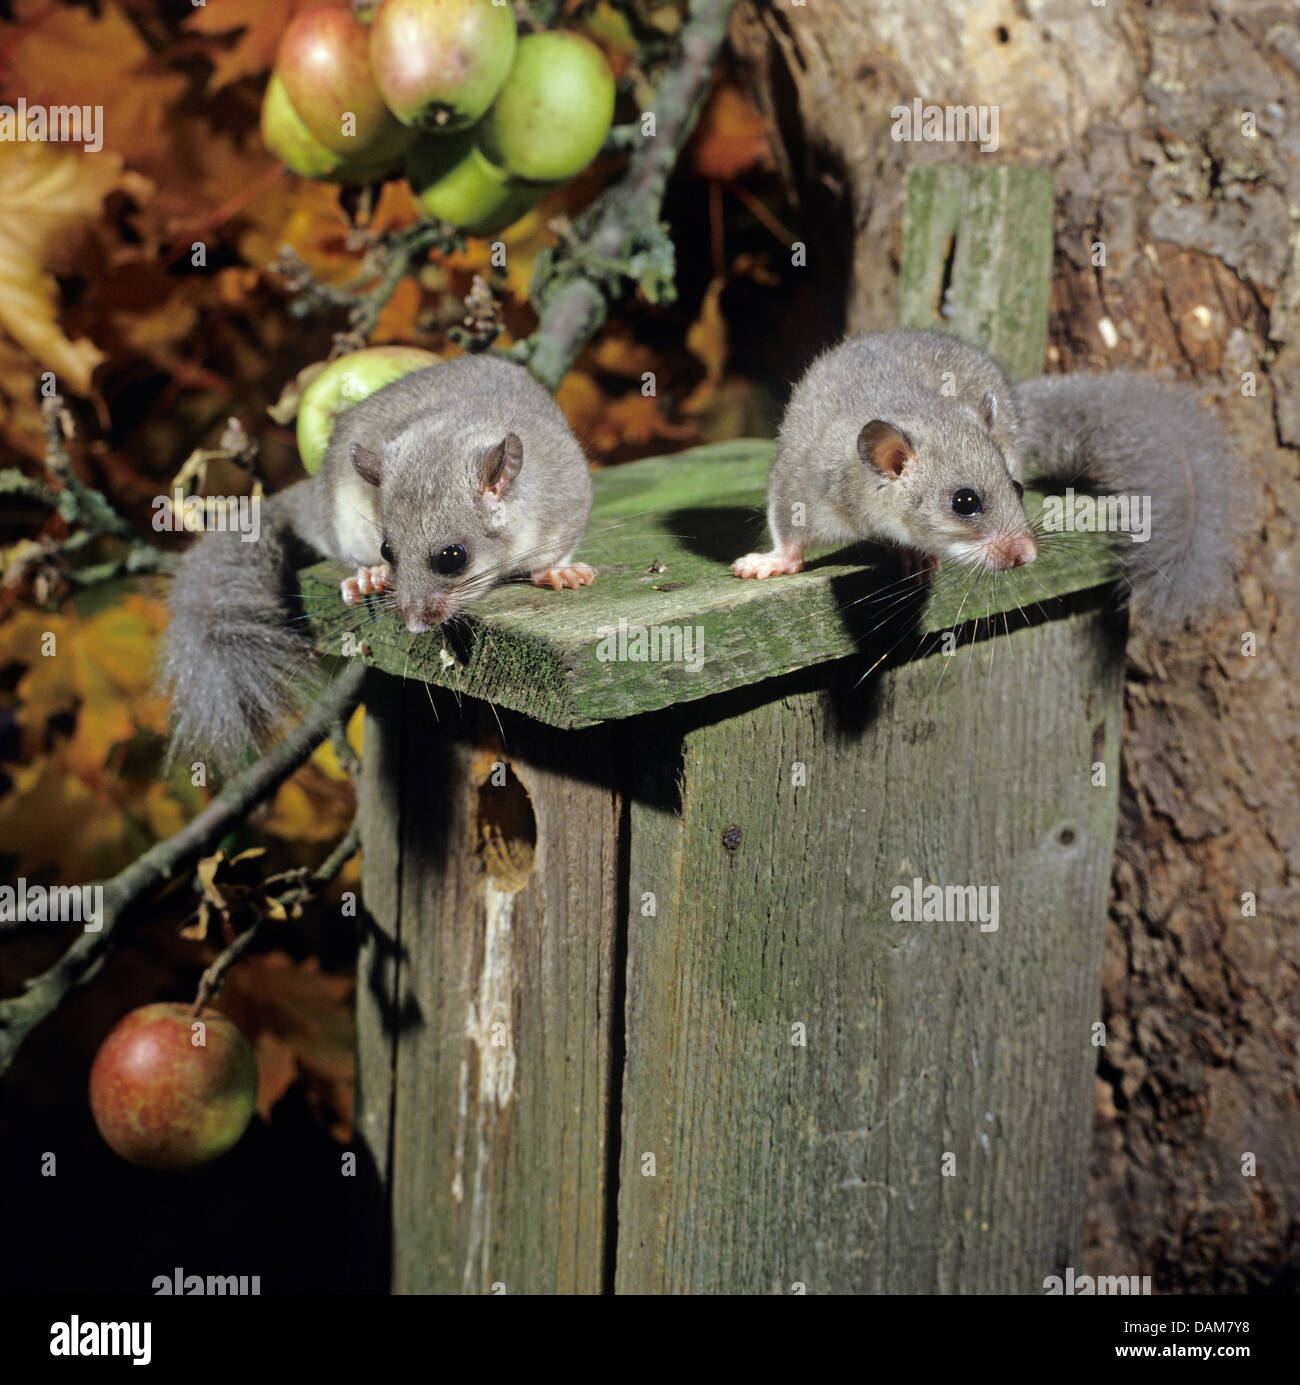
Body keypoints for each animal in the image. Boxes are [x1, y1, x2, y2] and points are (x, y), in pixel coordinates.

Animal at [160, 354, 594, 775]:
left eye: (453, 557)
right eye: (388, 549)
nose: (414, 625)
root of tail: (312, 499)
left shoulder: (567, 512)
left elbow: (558, 553)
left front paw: (561, 573)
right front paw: (376, 572)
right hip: (343, 521)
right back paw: (366, 578)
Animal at [733, 327, 1246, 626]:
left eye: (1016, 487)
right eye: (965, 502)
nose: (1028, 556)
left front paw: (919, 556)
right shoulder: (798, 489)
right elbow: (787, 534)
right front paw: (769, 563)